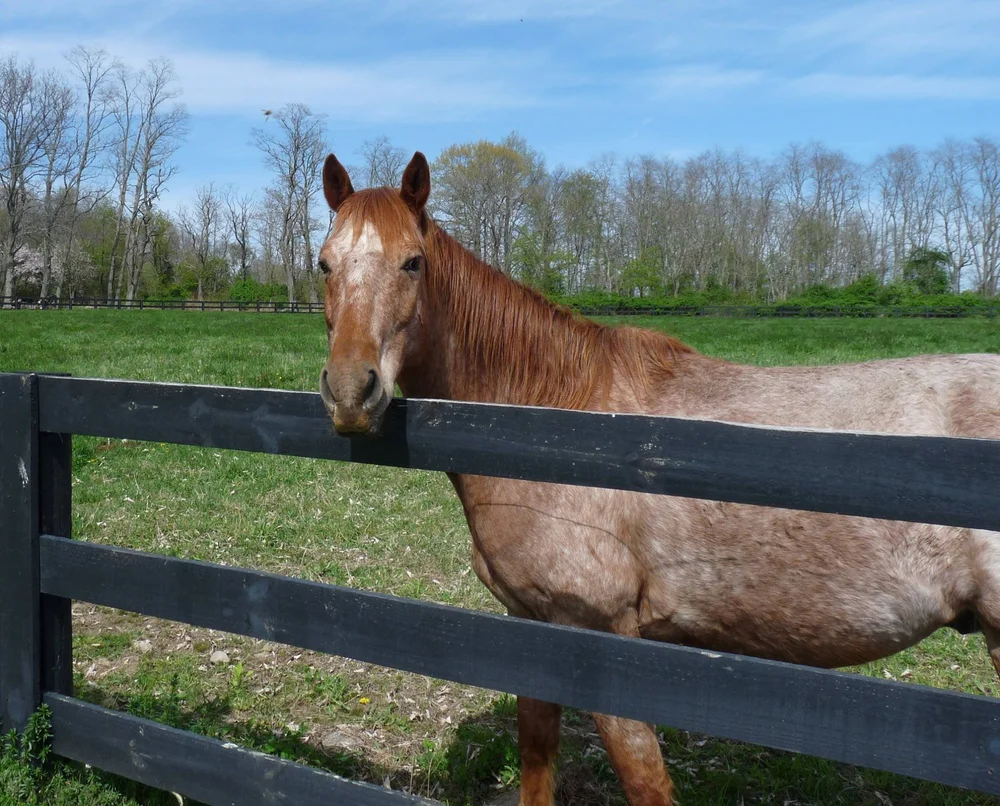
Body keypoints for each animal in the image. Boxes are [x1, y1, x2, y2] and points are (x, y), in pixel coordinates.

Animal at [316, 150, 1000, 806]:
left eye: (412, 263)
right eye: (323, 264)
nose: (351, 393)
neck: (554, 424)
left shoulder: (603, 637)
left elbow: (645, 784)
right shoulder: (533, 630)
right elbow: (537, 767)